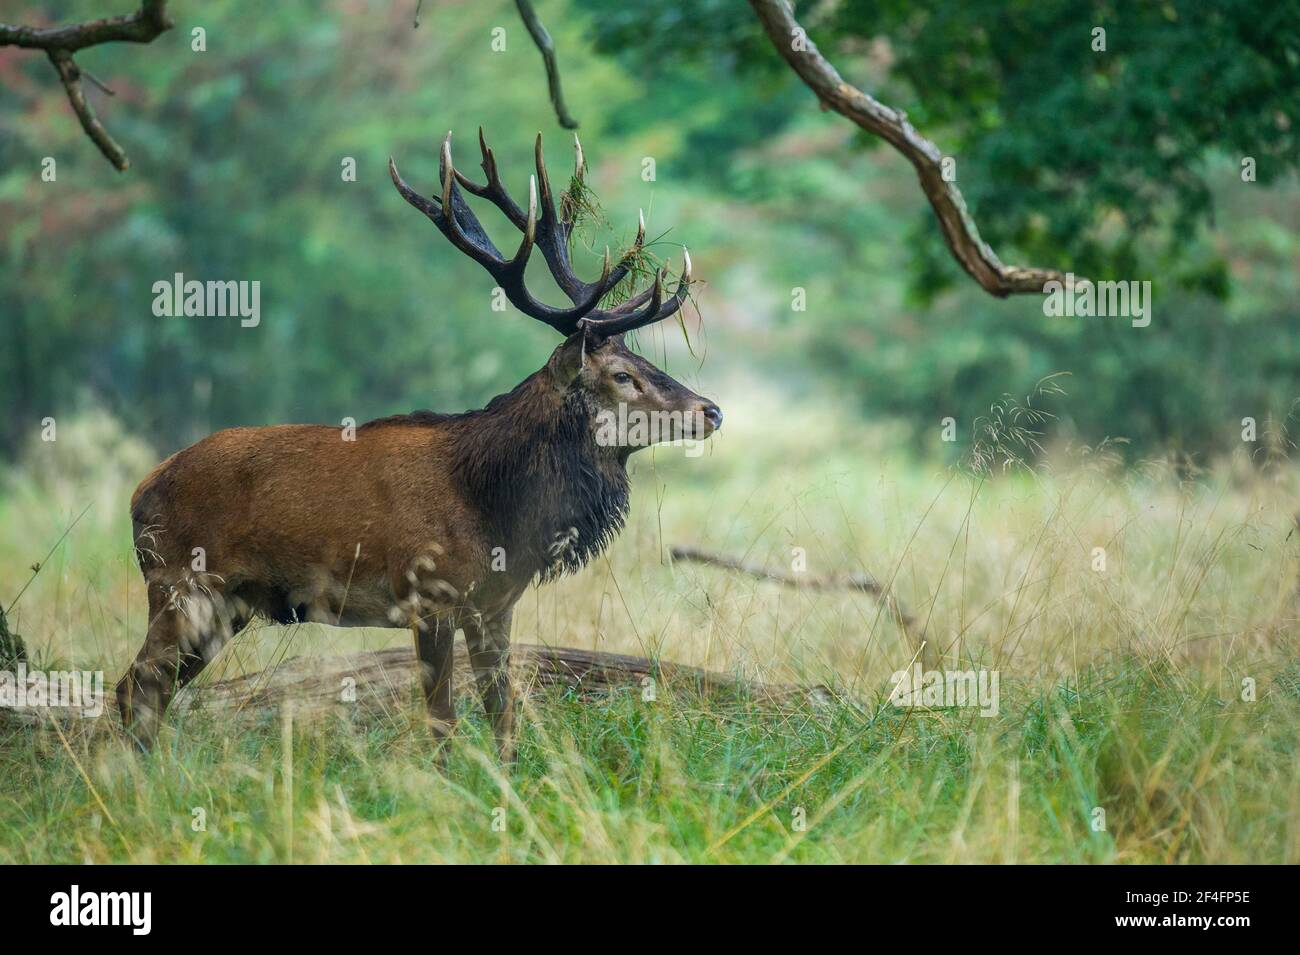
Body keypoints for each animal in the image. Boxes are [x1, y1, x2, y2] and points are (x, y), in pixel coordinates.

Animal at [116, 129, 722, 761]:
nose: (710, 410)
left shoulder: (496, 606)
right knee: (137, 685)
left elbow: (503, 716)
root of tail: (139, 493)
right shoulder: (429, 596)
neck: (496, 512)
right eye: (622, 375)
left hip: (226, 606)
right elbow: (443, 721)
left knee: (147, 688)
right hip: (178, 584)